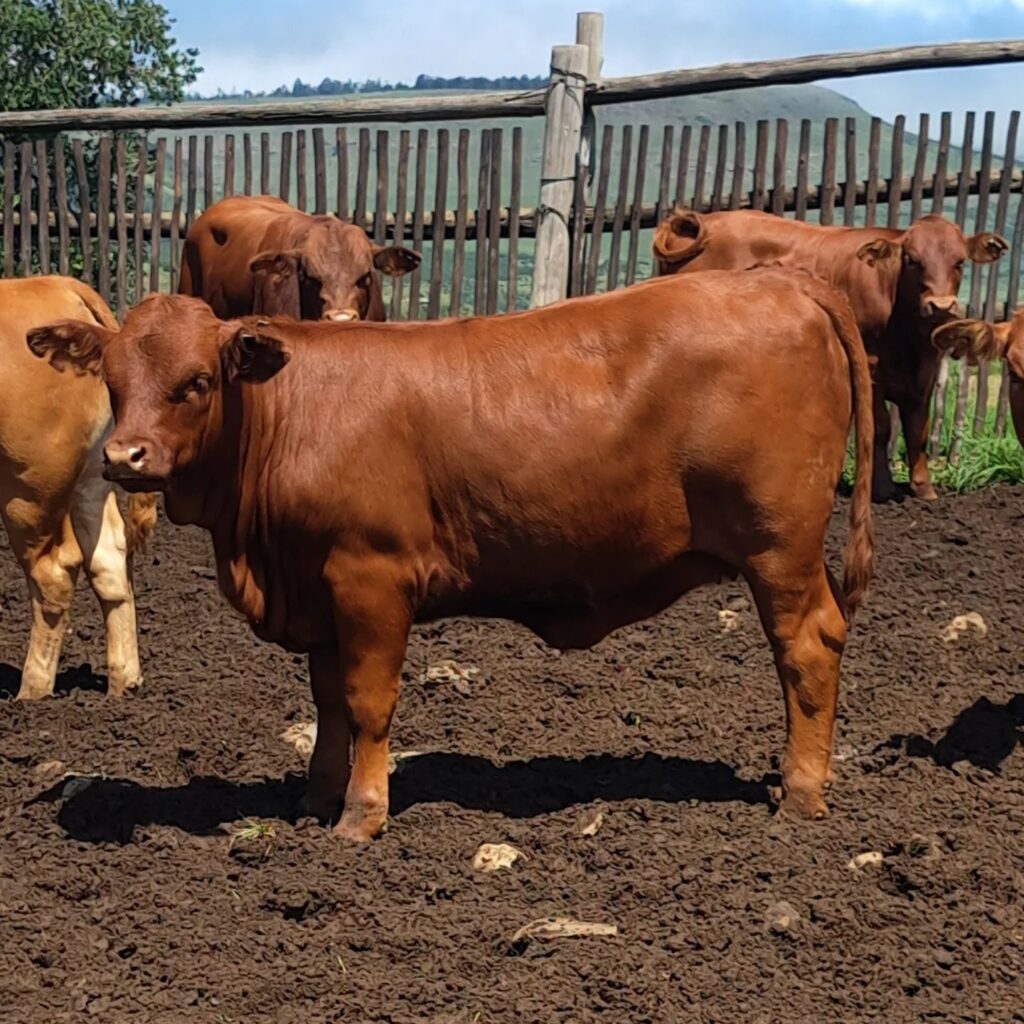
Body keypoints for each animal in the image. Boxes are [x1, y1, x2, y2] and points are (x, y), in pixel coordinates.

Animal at [1, 276, 156, 700]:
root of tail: (56, 284)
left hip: (28, 489)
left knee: (54, 572)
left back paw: (31, 693)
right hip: (89, 482)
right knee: (109, 560)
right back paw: (124, 683)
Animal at [28, 268, 873, 841]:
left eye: (197, 381)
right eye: (112, 380)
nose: (126, 457)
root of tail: (776, 280)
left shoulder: (370, 575)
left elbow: (369, 701)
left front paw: (361, 816)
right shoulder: (319, 587)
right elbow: (327, 701)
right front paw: (314, 798)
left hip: (779, 548)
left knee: (807, 649)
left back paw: (801, 793)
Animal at [653, 208, 1008, 503]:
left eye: (960, 261)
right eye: (912, 260)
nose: (941, 305)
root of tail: (701, 220)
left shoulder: (925, 374)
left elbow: (918, 426)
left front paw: (924, 489)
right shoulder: (871, 366)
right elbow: (880, 428)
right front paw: (882, 489)